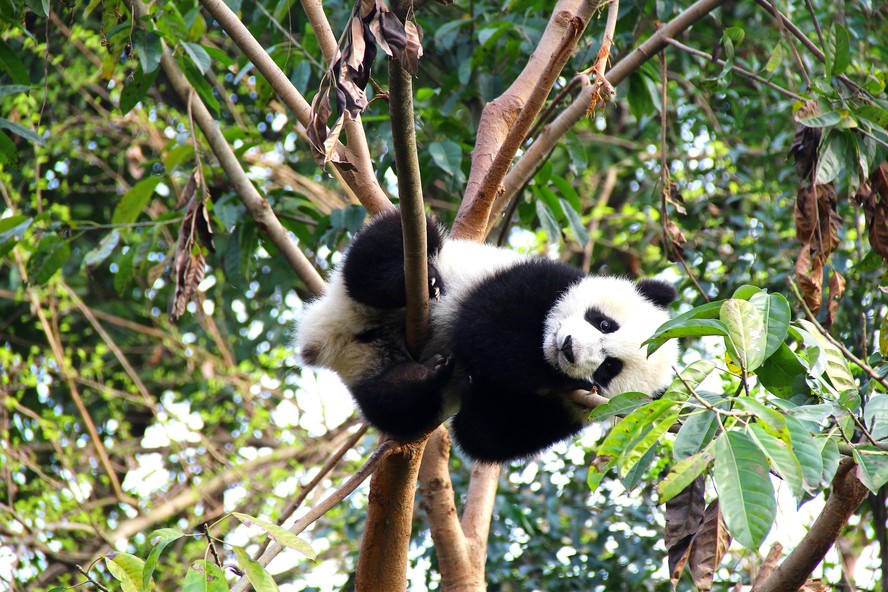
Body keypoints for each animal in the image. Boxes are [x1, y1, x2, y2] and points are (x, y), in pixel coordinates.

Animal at [295, 209, 679, 463]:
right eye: (604, 323)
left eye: (609, 368)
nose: (569, 349)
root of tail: (330, 338)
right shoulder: (534, 280)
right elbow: (485, 325)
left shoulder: (563, 413)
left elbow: (484, 435)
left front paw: (476, 388)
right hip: (395, 267)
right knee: (392, 246)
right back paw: (414, 281)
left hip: (377, 374)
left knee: (396, 409)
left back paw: (420, 378)